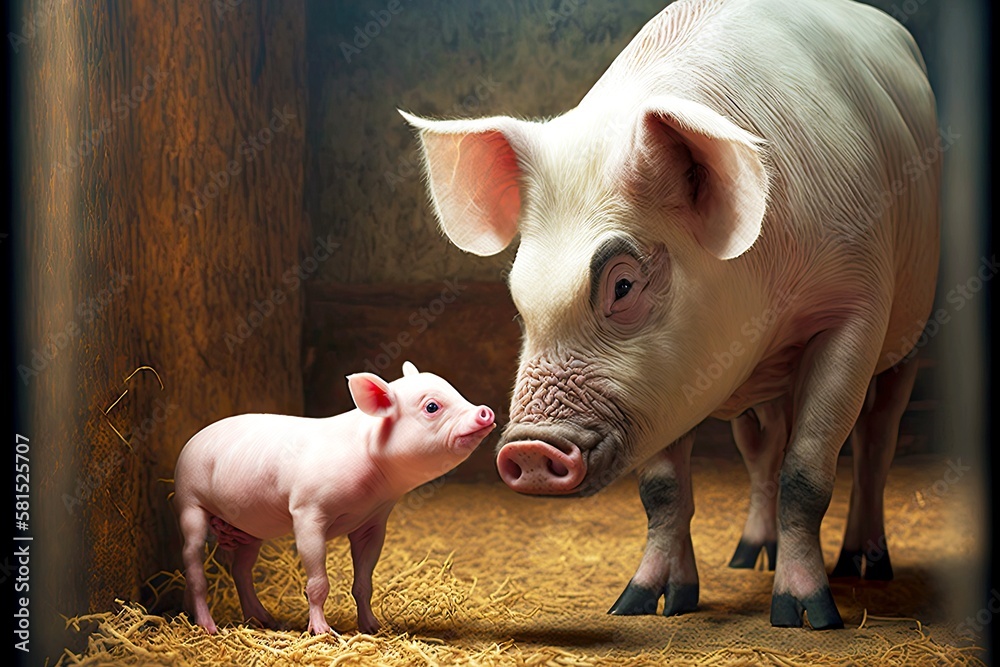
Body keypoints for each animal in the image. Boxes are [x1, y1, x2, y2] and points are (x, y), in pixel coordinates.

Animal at [173, 362, 495, 634]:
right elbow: (318, 583)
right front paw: (323, 632)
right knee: (194, 564)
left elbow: (364, 583)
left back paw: (265, 621)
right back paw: (208, 627)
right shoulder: (306, 511)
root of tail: (189, 442)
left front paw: (373, 627)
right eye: (432, 406)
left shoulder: (373, 522)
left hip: (249, 527)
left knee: (241, 570)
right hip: (189, 501)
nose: (485, 411)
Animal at [402, 0, 938, 629]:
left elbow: (807, 472)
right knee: (761, 448)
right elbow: (662, 489)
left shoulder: (855, 305)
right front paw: (644, 605)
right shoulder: (662, 387)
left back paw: (865, 566)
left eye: (623, 284)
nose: (530, 447)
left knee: (876, 439)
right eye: (519, 293)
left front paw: (807, 617)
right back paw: (747, 559)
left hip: (912, 328)